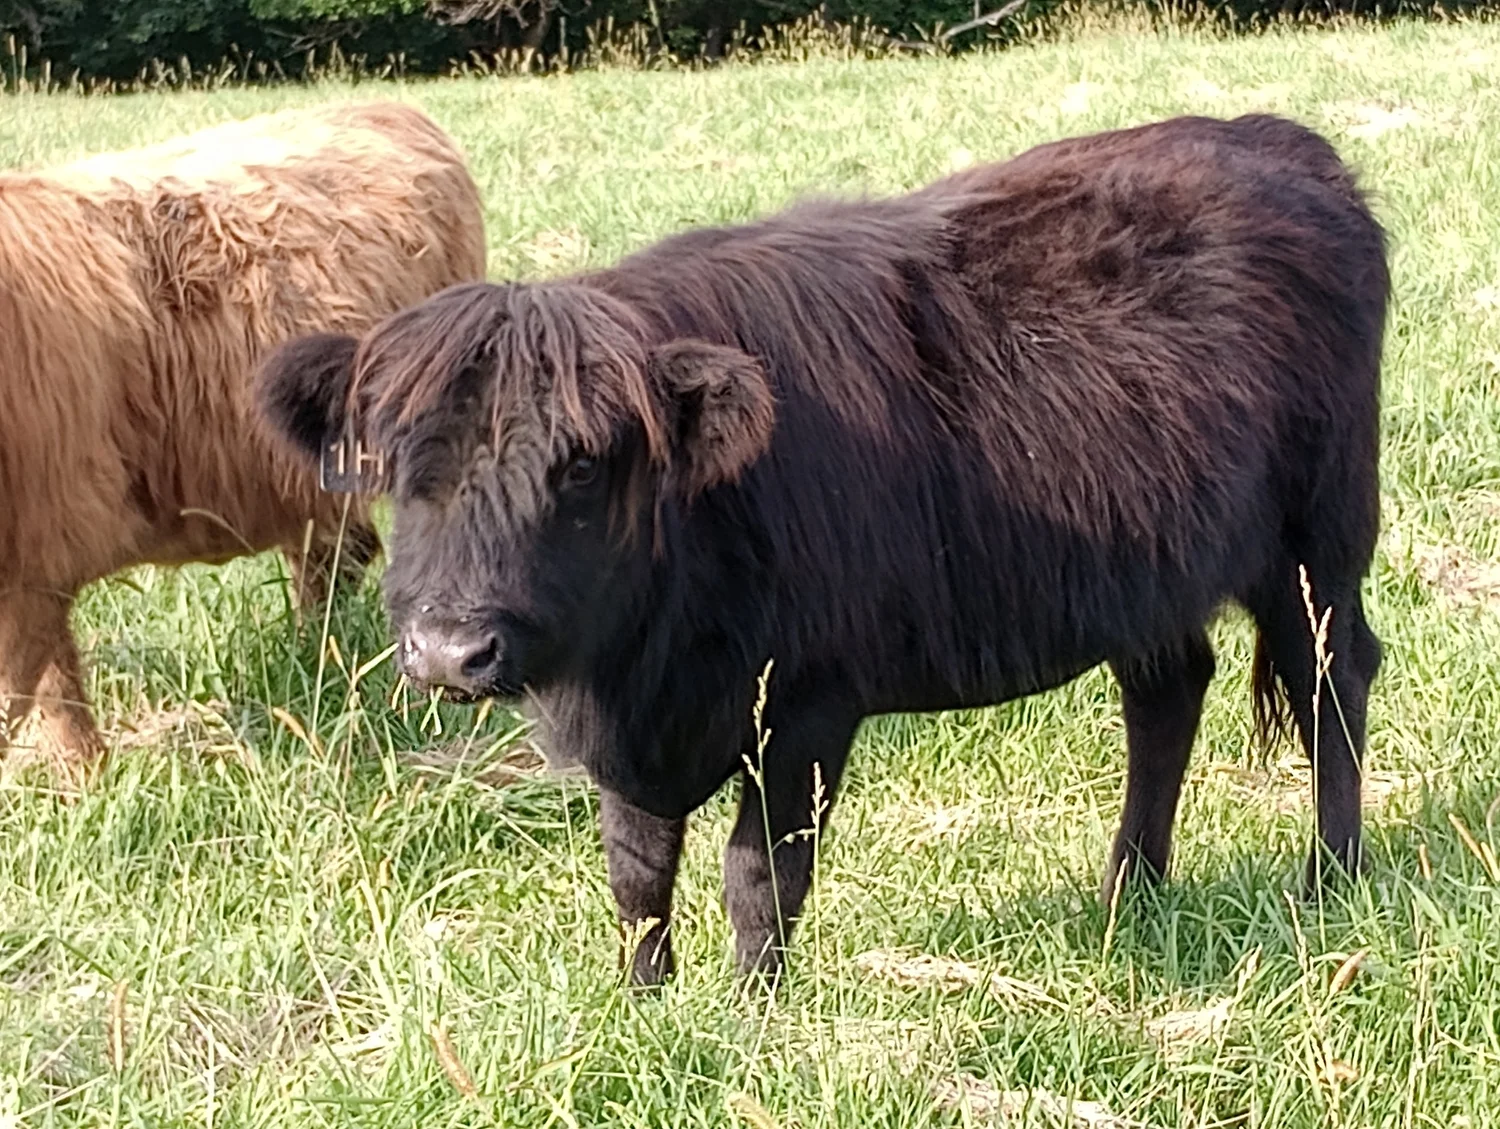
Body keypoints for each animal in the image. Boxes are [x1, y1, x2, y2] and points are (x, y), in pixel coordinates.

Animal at [0, 100, 487, 778]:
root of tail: (385, 107)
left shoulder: (41, 546)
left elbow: (34, 683)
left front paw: (81, 776)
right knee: (334, 551)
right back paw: (314, 648)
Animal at [256, 113, 1389, 986]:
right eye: (397, 458)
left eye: (580, 466)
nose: (451, 650)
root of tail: (1276, 141)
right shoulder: (633, 737)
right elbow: (637, 869)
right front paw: (644, 997)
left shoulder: (806, 707)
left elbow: (758, 873)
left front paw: (754, 1007)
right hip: (1149, 568)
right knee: (1167, 692)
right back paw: (1128, 890)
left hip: (1317, 541)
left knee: (1332, 676)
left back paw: (1328, 875)